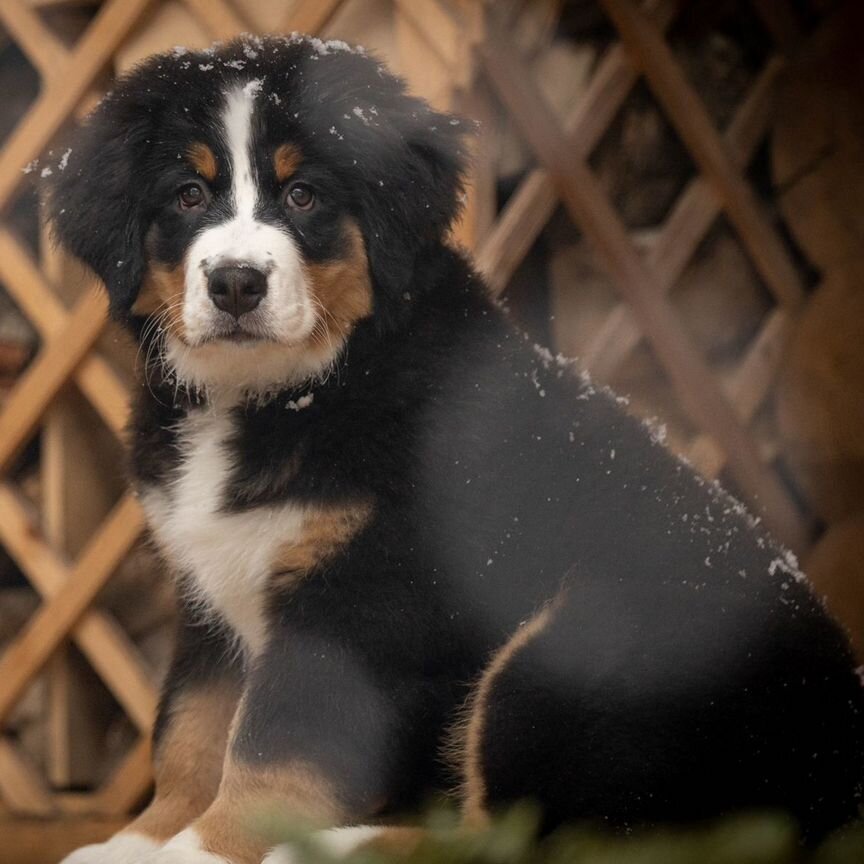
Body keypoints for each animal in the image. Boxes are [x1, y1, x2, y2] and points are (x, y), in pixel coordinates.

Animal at [49, 34, 862, 864]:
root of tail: (833, 782)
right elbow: (193, 725)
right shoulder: (207, 588)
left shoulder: (358, 599)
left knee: (530, 836)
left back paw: (341, 845)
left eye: (304, 195)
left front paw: (203, 849)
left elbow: (273, 744)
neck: (281, 395)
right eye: (187, 195)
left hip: (583, 649)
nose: (237, 284)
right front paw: (139, 840)